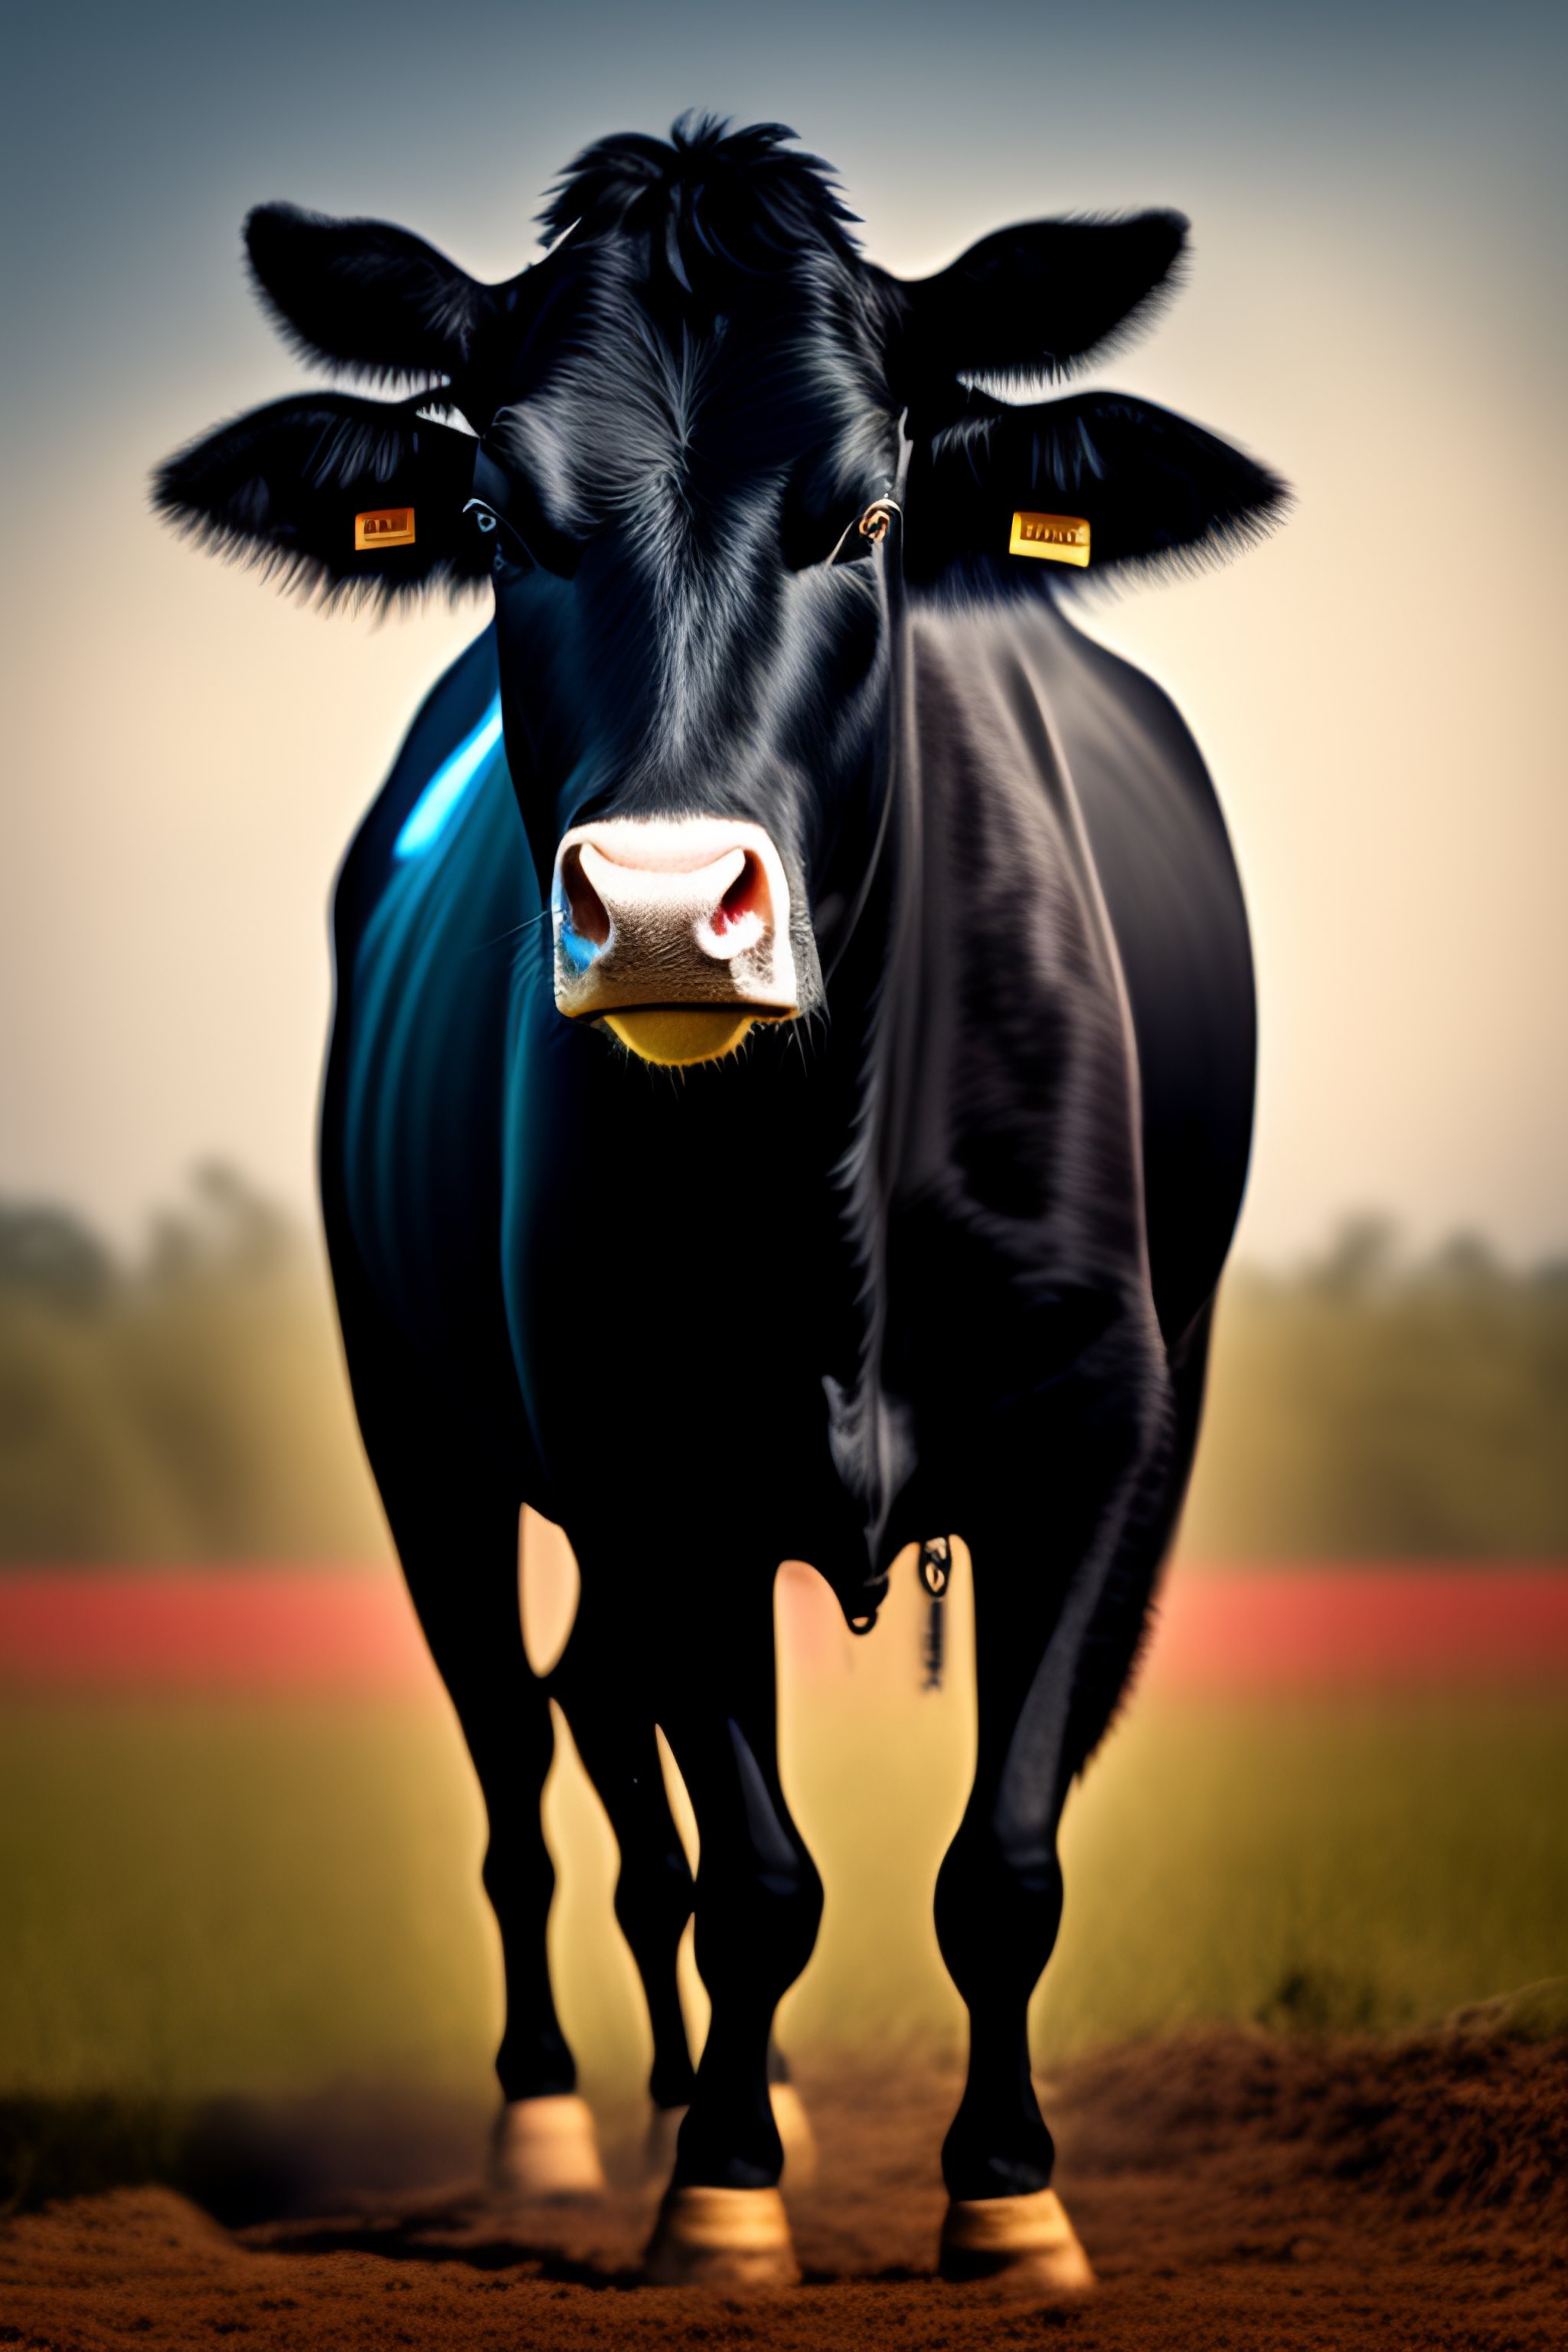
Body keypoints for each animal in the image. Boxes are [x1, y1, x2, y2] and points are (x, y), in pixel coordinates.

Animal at [154, 115, 1284, 2295]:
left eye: (868, 516)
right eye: (498, 513)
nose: (670, 903)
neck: (821, 1198)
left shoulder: (1111, 1427)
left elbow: (1006, 1852)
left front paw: (1006, 2191)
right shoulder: (632, 1440)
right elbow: (756, 1863)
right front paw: (726, 2192)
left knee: (597, 1720)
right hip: (417, 1420)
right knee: (524, 1753)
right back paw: (564, 2118)